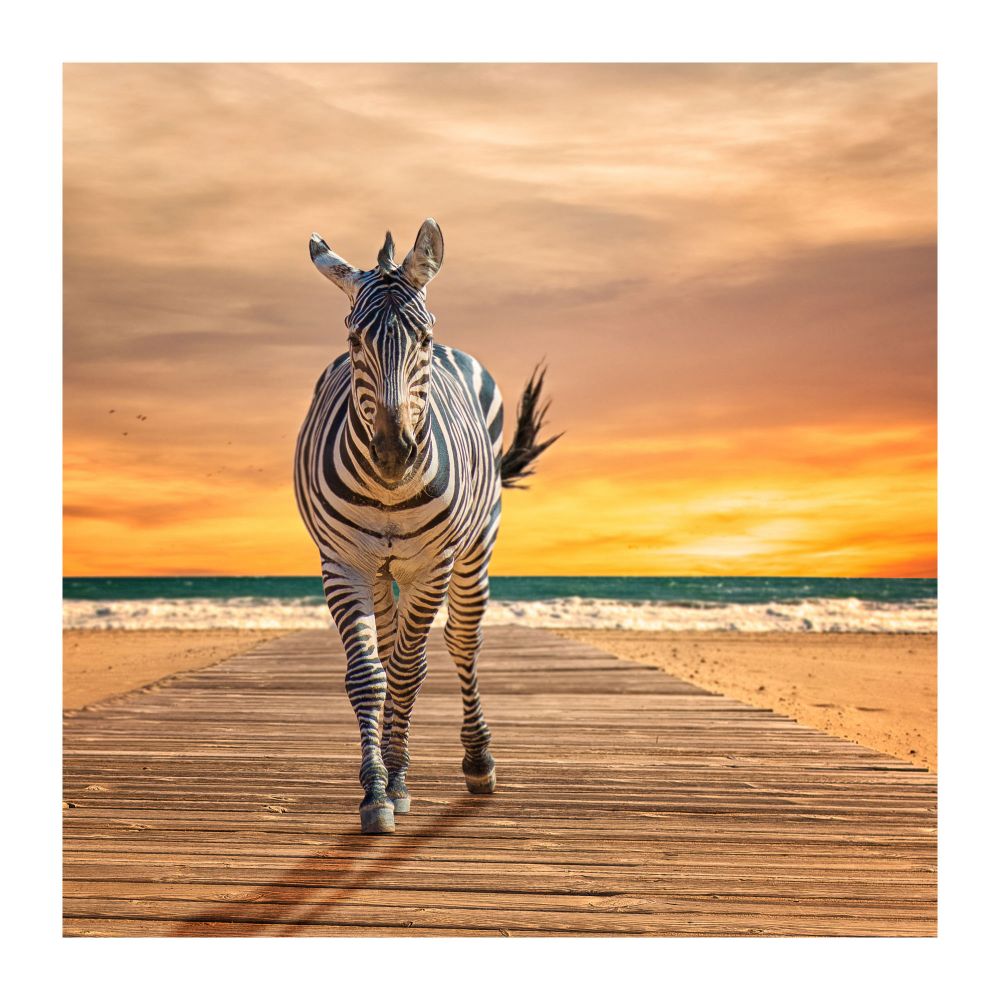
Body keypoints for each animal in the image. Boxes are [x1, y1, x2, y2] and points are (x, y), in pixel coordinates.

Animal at [294, 219, 559, 834]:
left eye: (423, 340)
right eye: (353, 342)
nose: (395, 454)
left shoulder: (431, 565)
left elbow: (410, 673)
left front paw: (394, 779)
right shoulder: (343, 563)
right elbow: (370, 675)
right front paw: (376, 789)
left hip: (474, 550)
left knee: (462, 640)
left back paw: (478, 761)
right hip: (382, 569)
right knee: (392, 646)